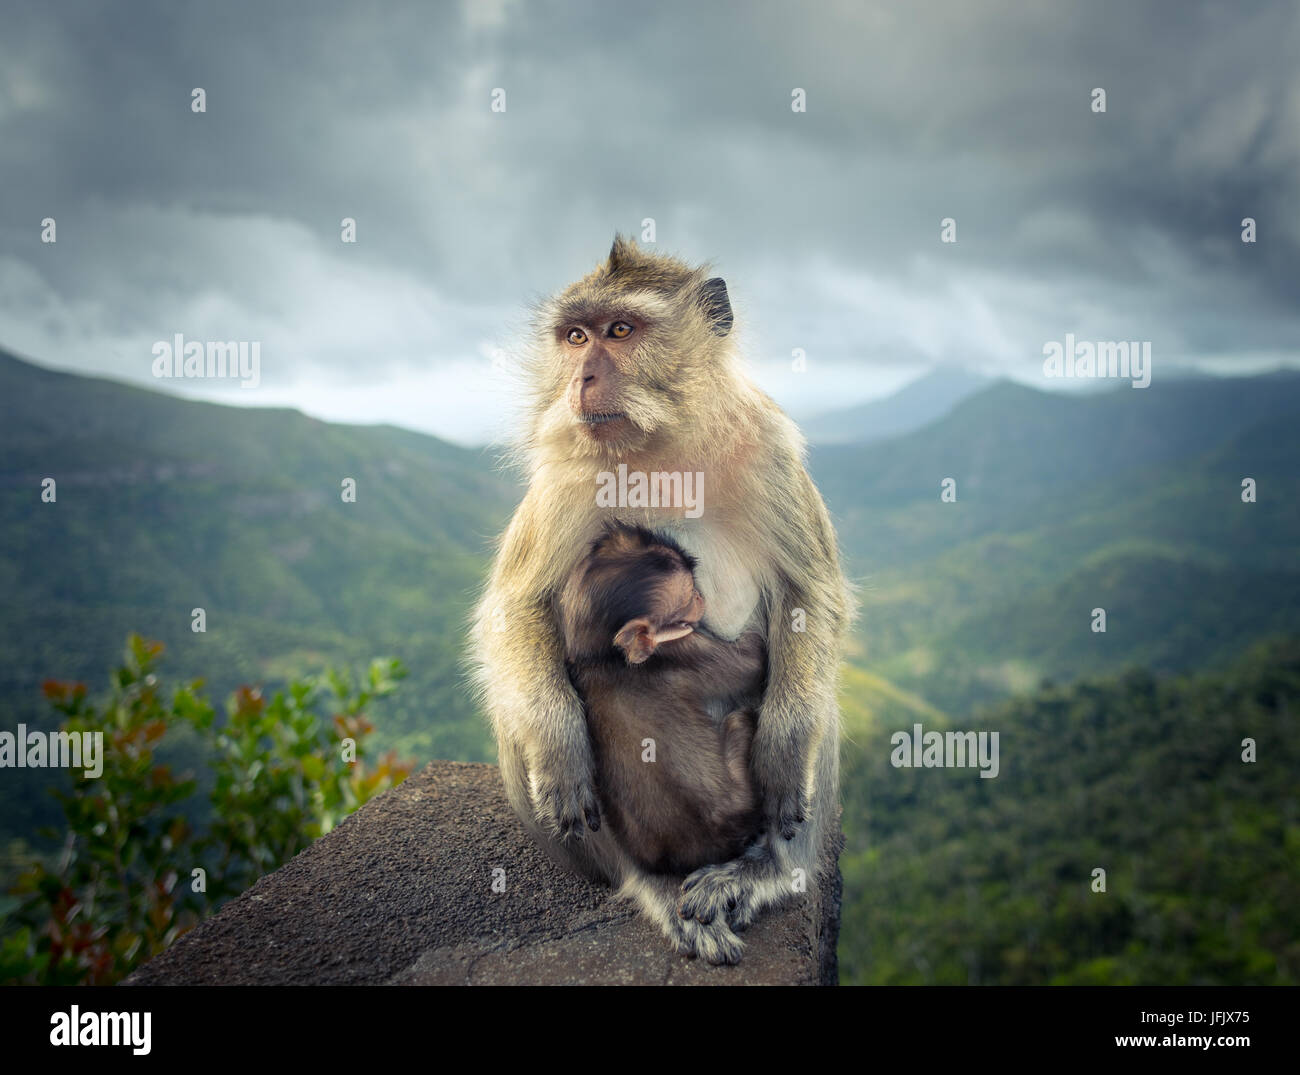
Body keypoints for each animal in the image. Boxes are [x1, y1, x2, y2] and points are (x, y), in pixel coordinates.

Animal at [556, 521, 766, 876]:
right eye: (688, 599)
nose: (700, 597)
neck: (602, 656)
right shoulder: (681, 647)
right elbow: (752, 660)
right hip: (742, 800)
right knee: (740, 719)